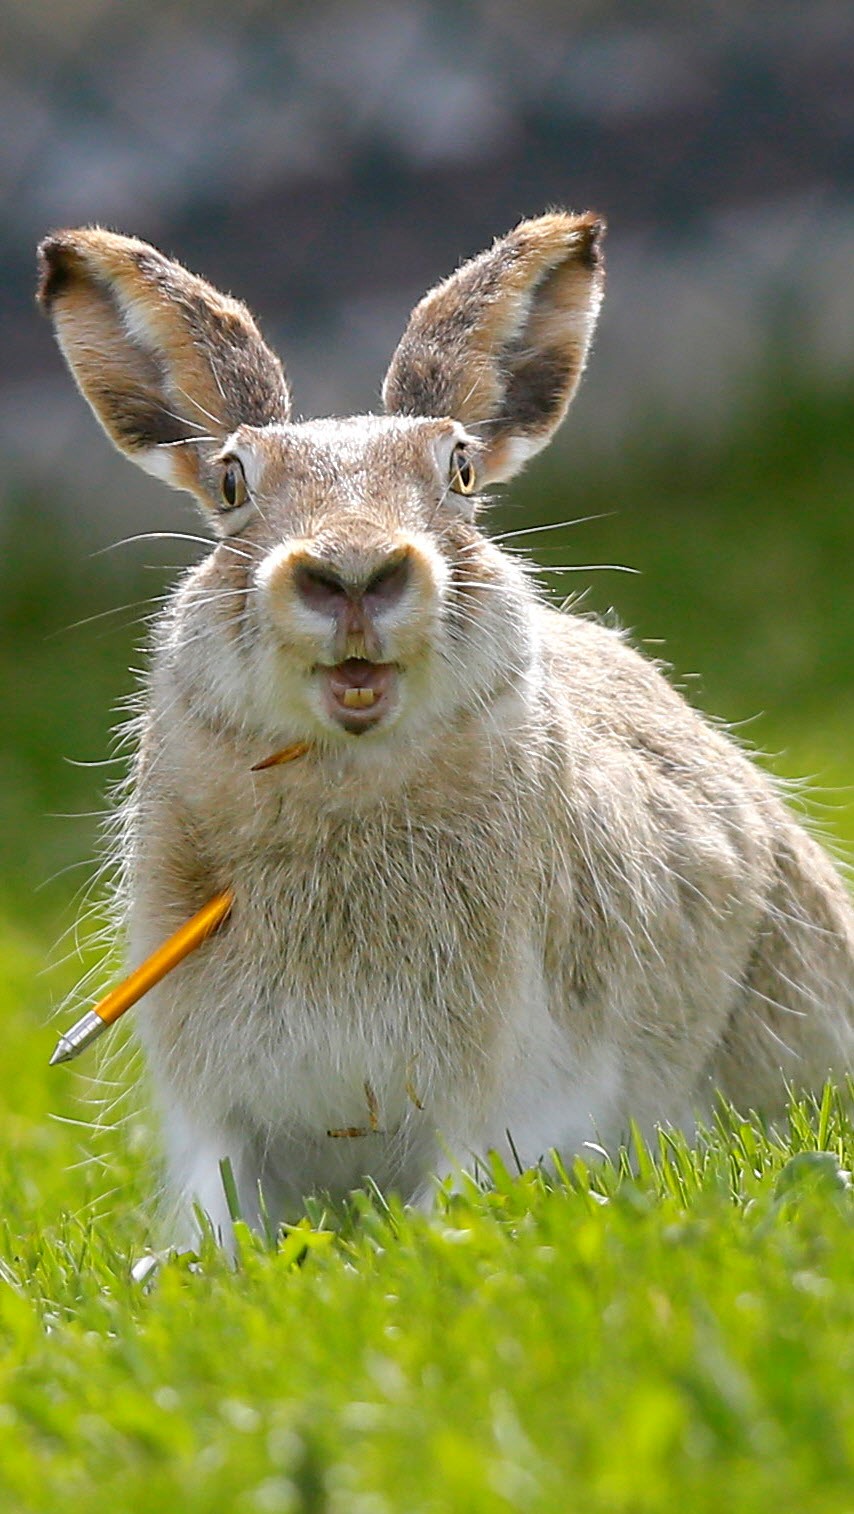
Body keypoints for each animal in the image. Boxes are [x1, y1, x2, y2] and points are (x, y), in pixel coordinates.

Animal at [38, 212, 853, 1245]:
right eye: (229, 484)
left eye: (460, 469)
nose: (352, 571)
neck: (343, 776)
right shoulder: (214, 1109)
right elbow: (218, 1205)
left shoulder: (505, 1084)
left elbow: (461, 1182)